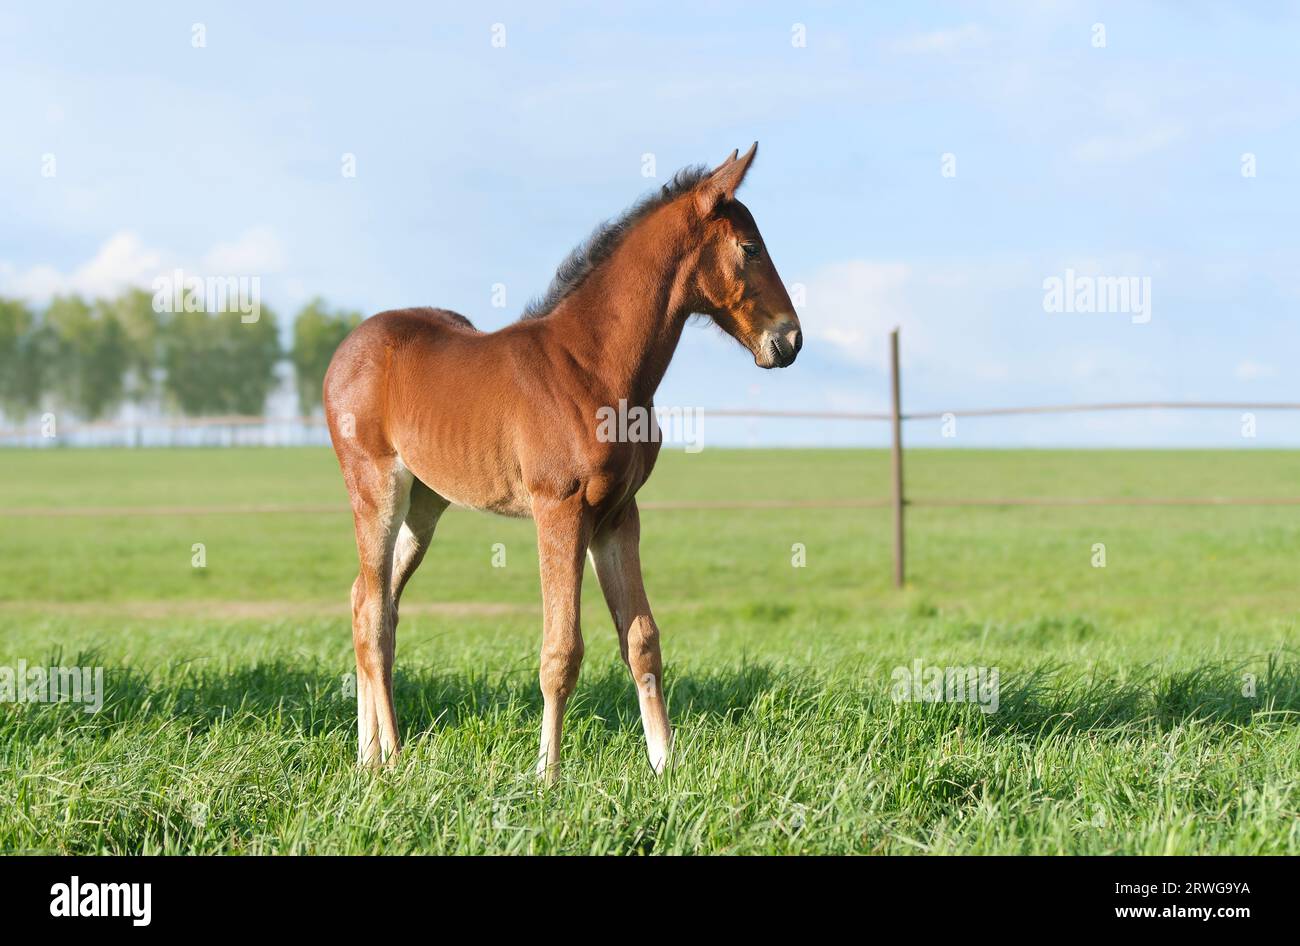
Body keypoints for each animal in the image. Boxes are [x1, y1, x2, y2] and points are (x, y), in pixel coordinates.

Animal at [323, 143, 801, 782]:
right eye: (750, 248)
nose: (790, 340)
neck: (593, 364)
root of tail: (348, 348)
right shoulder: (560, 509)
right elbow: (562, 650)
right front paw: (547, 775)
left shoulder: (618, 516)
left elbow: (642, 639)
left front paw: (664, 766)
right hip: (376, 488)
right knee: (374, 613)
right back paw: (393, 757)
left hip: (425, 504)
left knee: (366, 600)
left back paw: (367, 754)